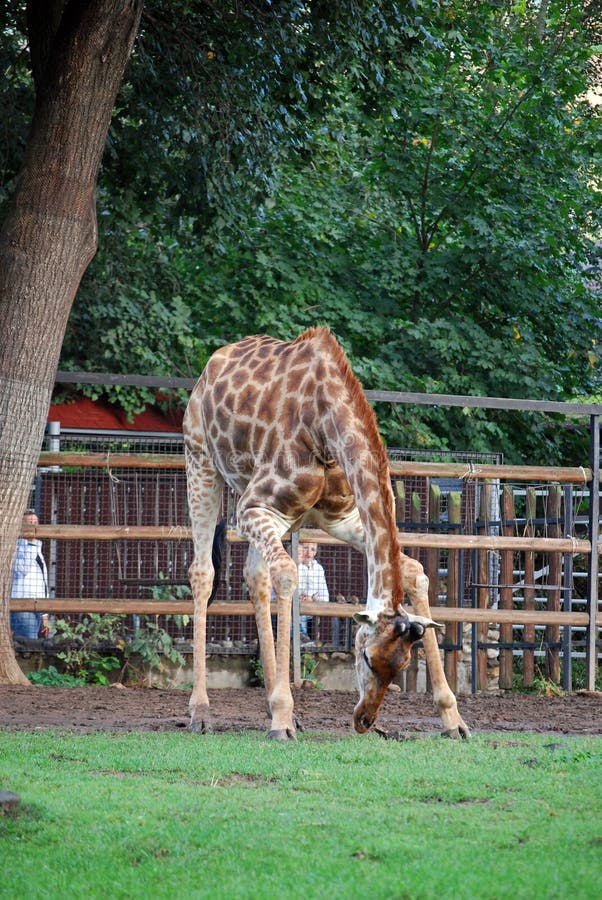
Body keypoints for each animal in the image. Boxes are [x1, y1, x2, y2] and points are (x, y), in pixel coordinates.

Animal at [183, 327, 470, 741]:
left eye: (401, 666)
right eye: (365, 656)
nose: (364, 721)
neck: (324, 428)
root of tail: (211, 365)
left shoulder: (342, 518)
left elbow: (415, 572)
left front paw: (453, 720)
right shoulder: (255, 506)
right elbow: (288, 575)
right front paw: (281, 720)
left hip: (282, 517)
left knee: (255, 578)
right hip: (201, 461)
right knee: (204, 573)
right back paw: (202, 712)